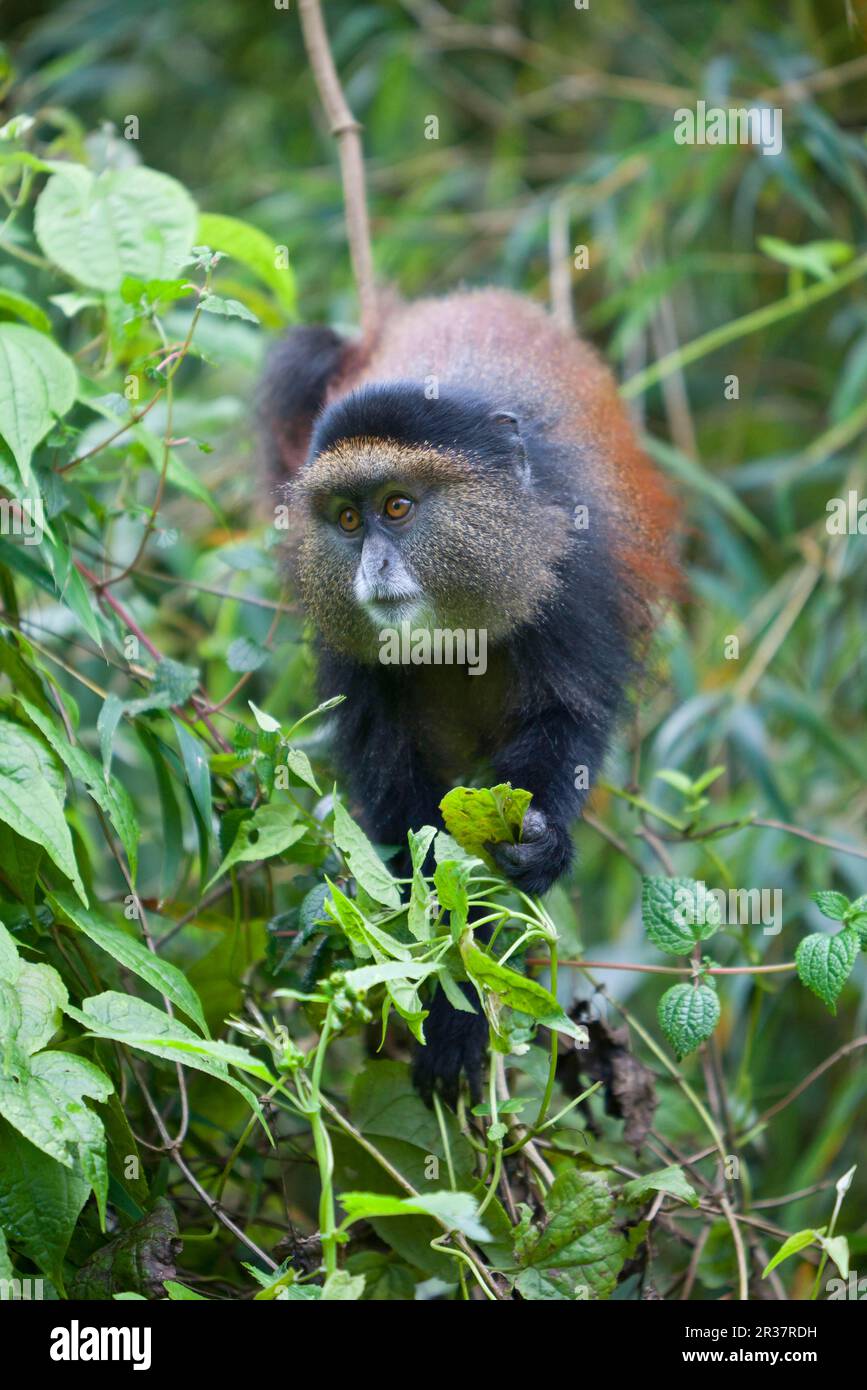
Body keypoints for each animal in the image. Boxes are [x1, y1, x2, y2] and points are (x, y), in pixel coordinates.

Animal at [260, 288, 678, 1107]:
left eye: (396, 508)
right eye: (348, 518)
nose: (371, 568)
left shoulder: (573, 568)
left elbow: (566, 720)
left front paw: (540, 850)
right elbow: (400, 799)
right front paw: (449, 1000)